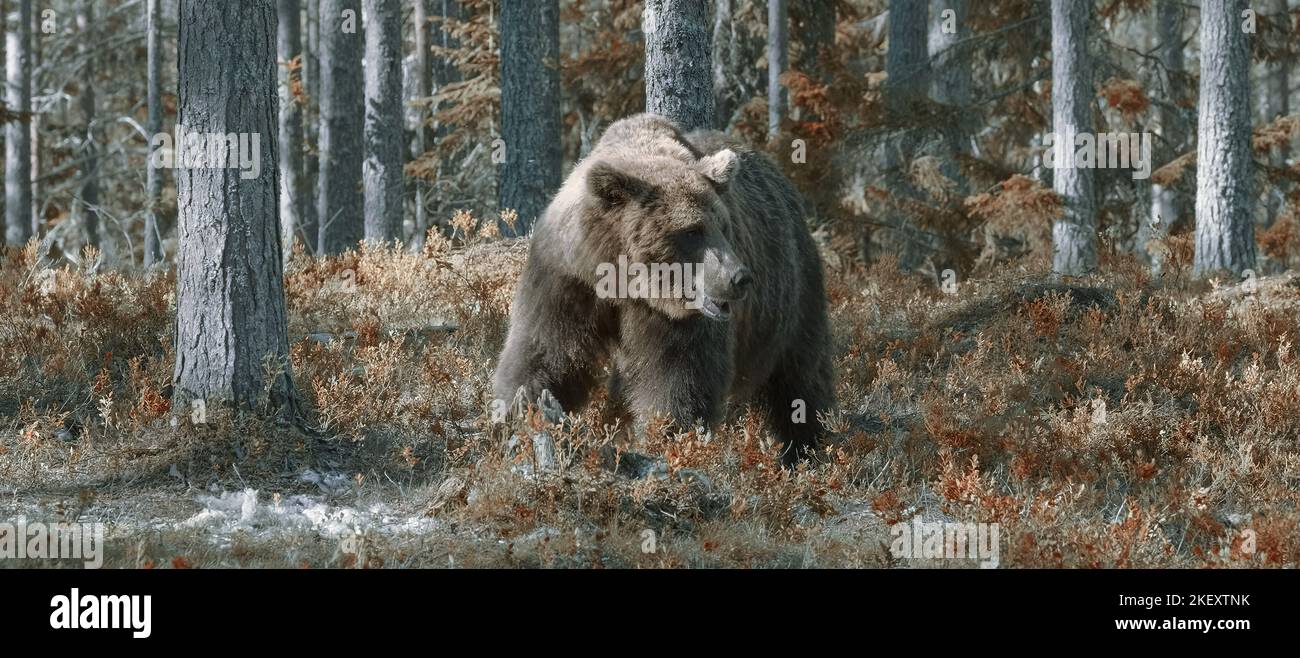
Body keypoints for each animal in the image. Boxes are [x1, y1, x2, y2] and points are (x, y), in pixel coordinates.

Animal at [491, 113, 833, 466]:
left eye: (723, 226)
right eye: (692, 231)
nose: (738, 278)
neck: (621, 279)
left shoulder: (676, 317)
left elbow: (677, 380)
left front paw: (666, 441)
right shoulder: (566, 279)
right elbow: (545, 352)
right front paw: (522, 417)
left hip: (793, 292)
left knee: (799, 378)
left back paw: (805, 449)